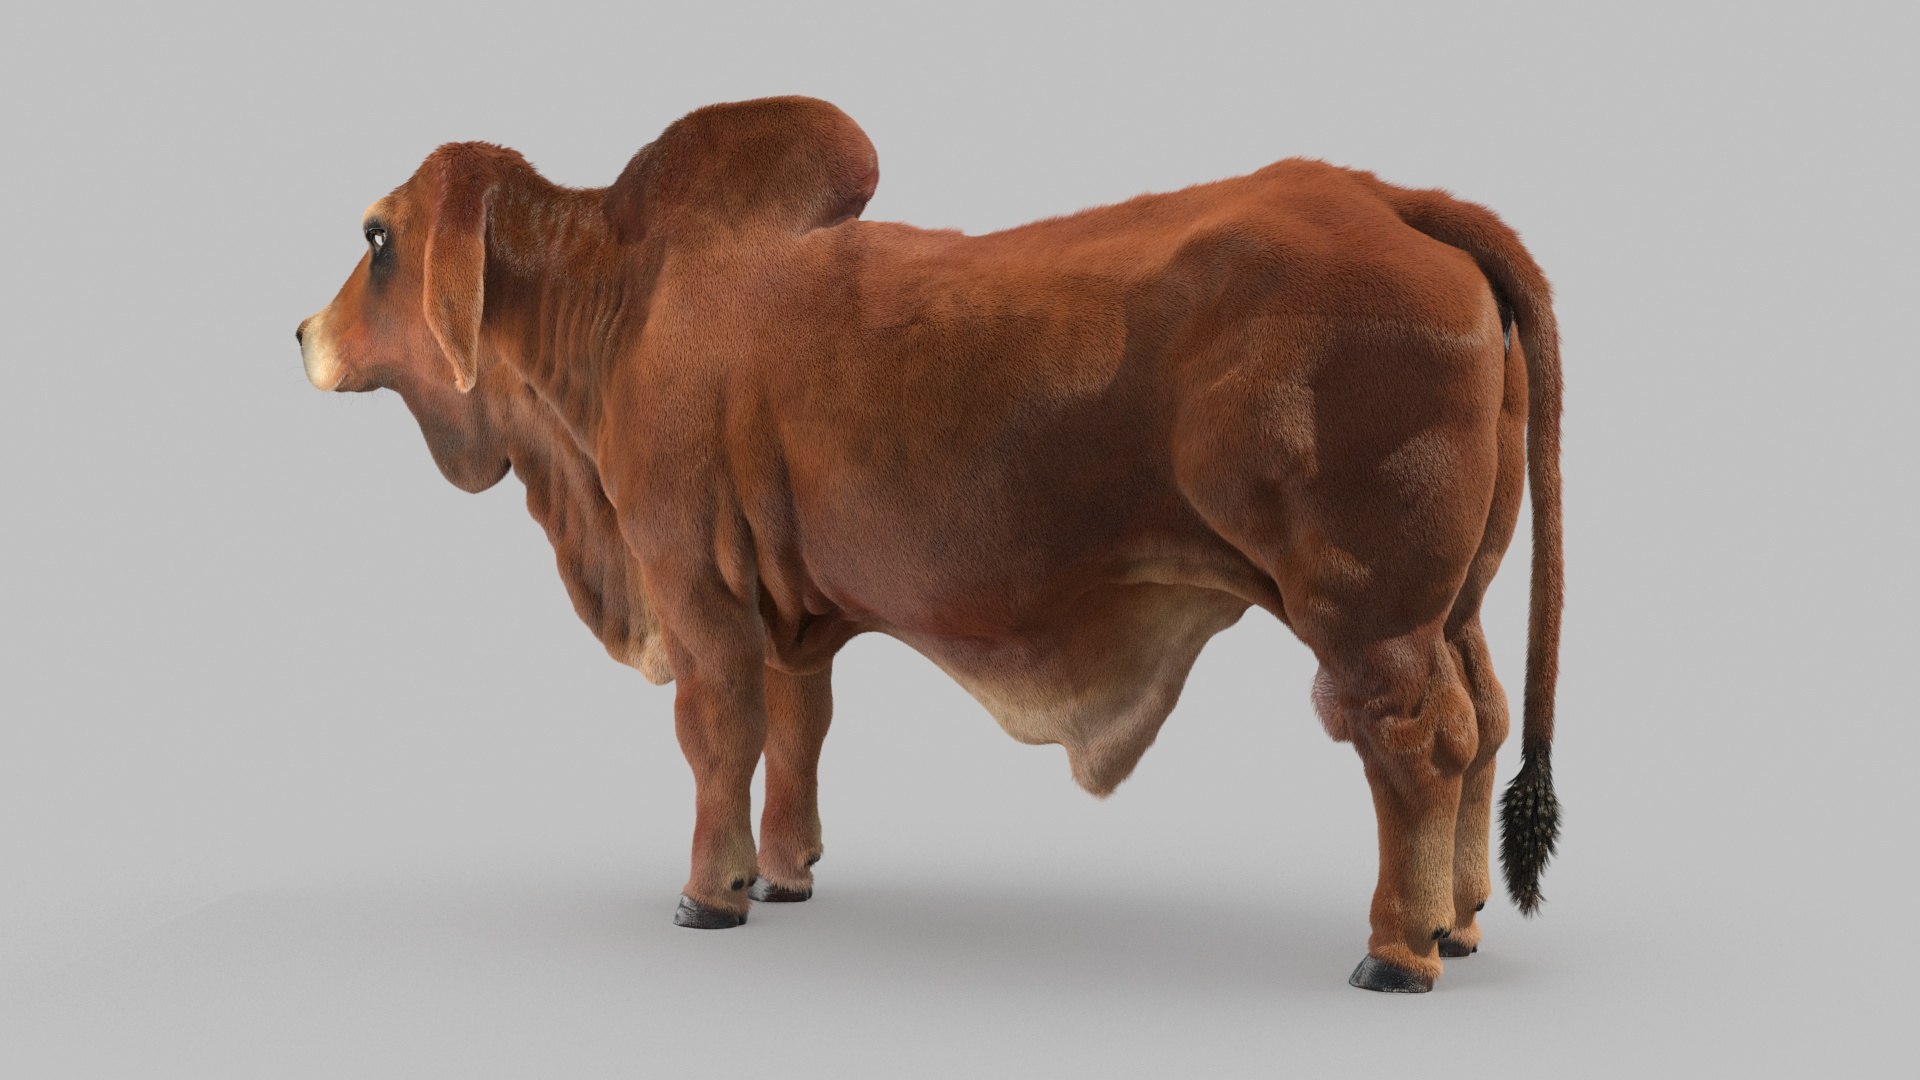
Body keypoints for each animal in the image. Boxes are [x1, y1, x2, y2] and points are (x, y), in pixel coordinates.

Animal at [297, 96, 1564, 993]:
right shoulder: (788, 613)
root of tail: (1392, 200)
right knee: (1487, 720)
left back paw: (1395, 953)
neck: (624, 304)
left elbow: (718, 737)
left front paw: (711, 892)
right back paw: (1456, 923)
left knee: (1419, 743)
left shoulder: (695, 588)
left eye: (377, 237)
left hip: (1368, 618)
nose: (302, 330)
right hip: (1458, 603)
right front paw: (784, 871)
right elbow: (796, 733)